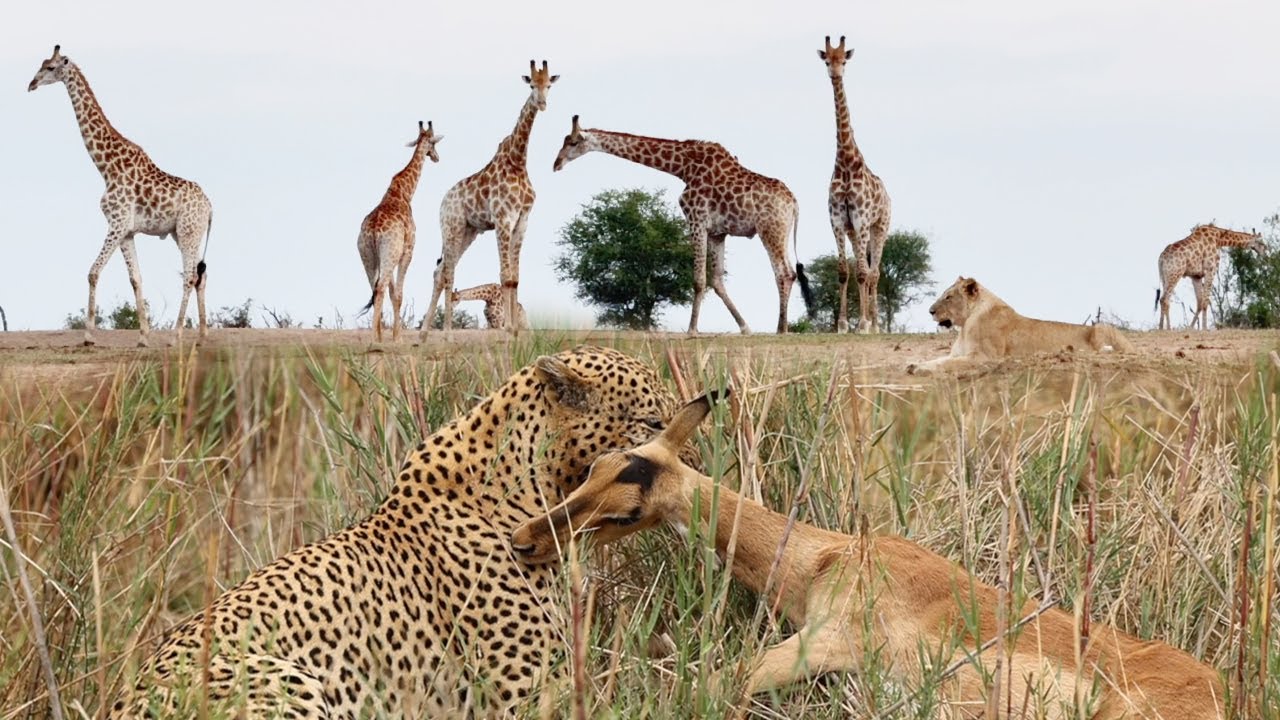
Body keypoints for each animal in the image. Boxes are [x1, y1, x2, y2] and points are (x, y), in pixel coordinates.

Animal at [28, 45, 213, 347]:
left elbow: (93, 271)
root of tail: (210, 207)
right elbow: (136, 279)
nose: (31, 84)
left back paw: (175, 337)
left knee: (188, 276)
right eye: (42, 64)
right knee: (200, 275)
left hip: (188, 231)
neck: (106, 166)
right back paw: (202, 336)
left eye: (51, 67)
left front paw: (88, 336)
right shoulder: (127, 231)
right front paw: (143, 337)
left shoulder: (117, 222)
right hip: (185, 233)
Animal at [357, 120, 443, 342]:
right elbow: (399, 294)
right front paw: (398, 338)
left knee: (375, 287)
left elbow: (392, 292)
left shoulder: (391, 255)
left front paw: (392, 336)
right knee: (379, 288)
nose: (437, 157)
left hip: (368, 255)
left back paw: (377, 337)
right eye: (433, 143)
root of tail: (374, 231)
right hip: (389, 253)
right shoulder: (407, 251)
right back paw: (374, 338)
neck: (404, 192)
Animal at [422, 60, 557, 337]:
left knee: (440, 270)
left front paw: (515, 331)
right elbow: (505, 274)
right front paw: (508, 329)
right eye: (531, 84)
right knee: (446, 271)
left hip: (469, 231)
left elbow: (514, 278)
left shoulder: (522, 220)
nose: (542, 103)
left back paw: (424, 333)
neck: (518, 162)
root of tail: (443, 201)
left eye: (549, 84)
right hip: (452, 227)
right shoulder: (503, 219)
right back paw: (446, 332)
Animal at [553, 116, 812, 334]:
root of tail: (794, 202)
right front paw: (745, 327)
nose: (556, 164)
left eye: (573, 142)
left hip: (770, 230)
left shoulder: (696, 220)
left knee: (784, 273)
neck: (682, 168)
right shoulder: (718, 232)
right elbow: (716, 281)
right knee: (788, 272)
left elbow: (699, 280)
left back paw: (782, 328)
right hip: (779, 231)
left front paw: (692, 330)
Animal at [909, 276, 1135, 373]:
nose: (930, 311)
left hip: (1102, 327)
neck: (965, 325)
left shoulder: (984, 356)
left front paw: (920, 370)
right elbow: (937, 359)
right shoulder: (957, 353)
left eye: (948, 297)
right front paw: (914, 365)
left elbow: (947, 364)